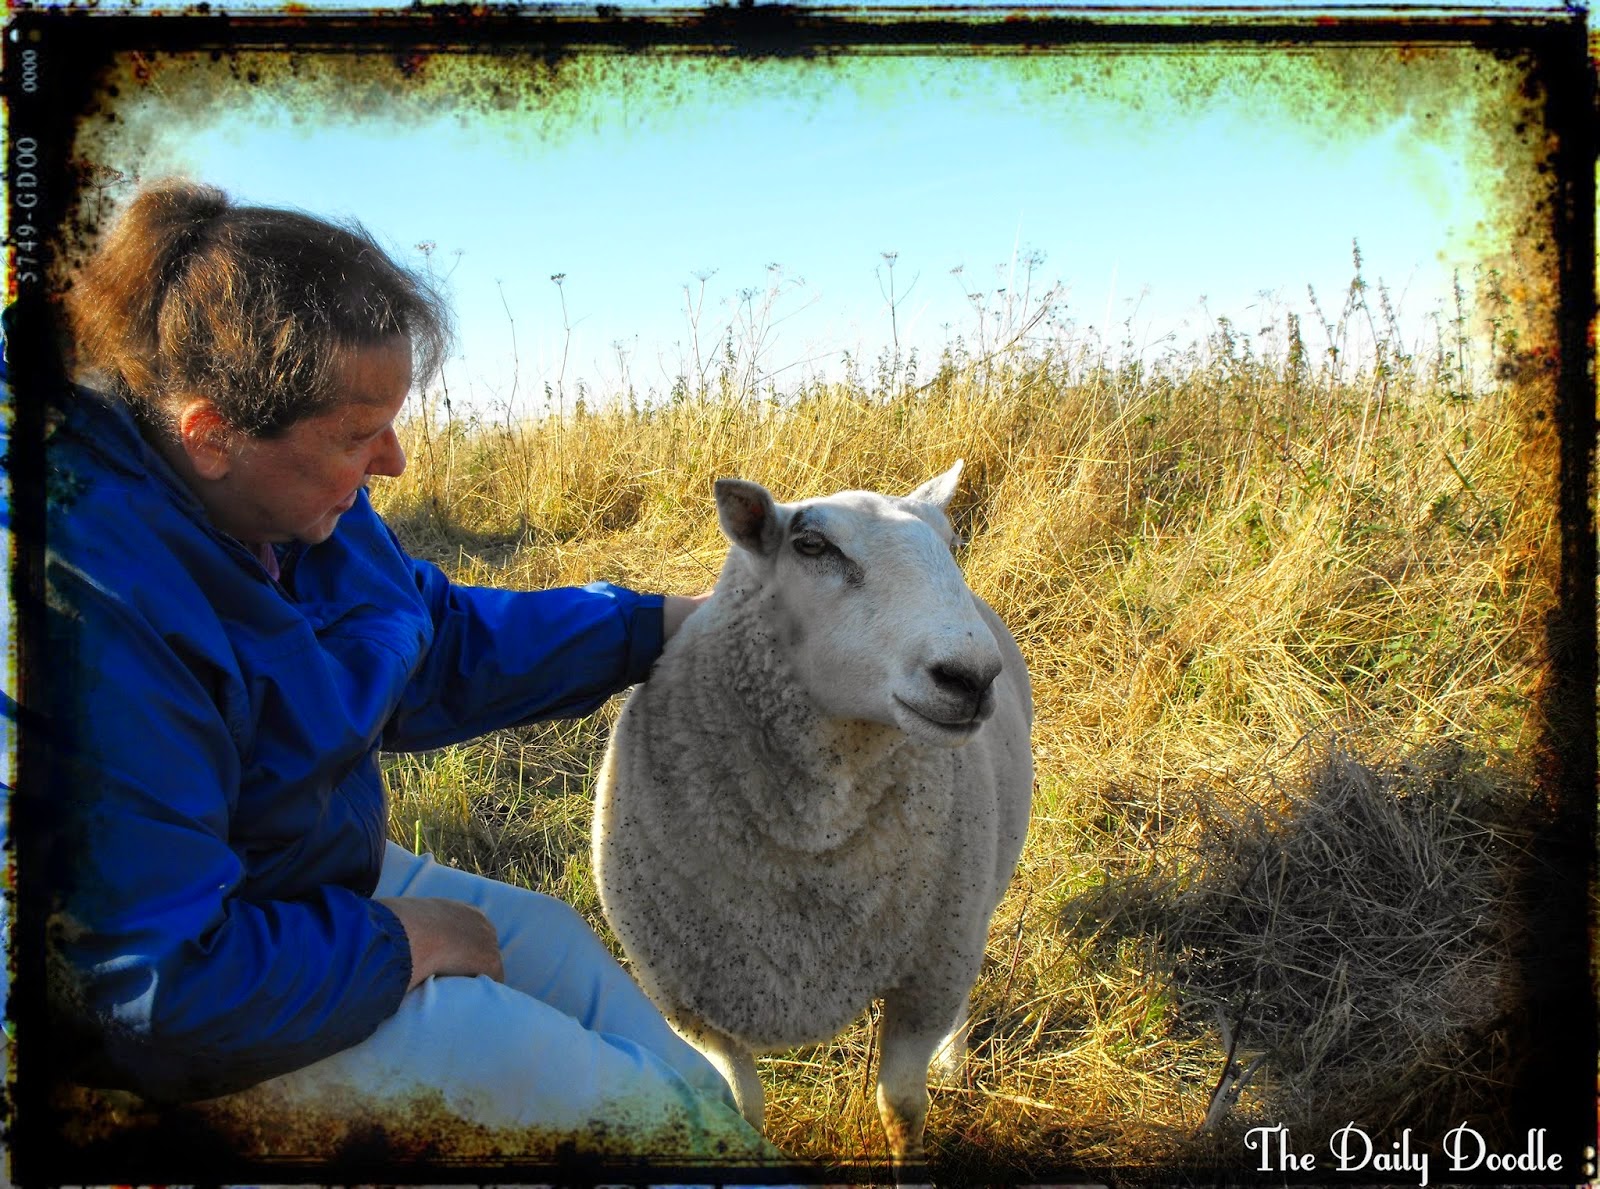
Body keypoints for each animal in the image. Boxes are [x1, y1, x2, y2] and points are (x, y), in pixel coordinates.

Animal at [592, 462, 1033, 1177]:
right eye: (812, 546)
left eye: (950, 545)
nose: (970, 676)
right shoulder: (688, 1003)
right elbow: (742, 1111)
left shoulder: (928, 974)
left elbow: (901, 1110)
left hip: (967, 910)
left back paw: (955, 1059)